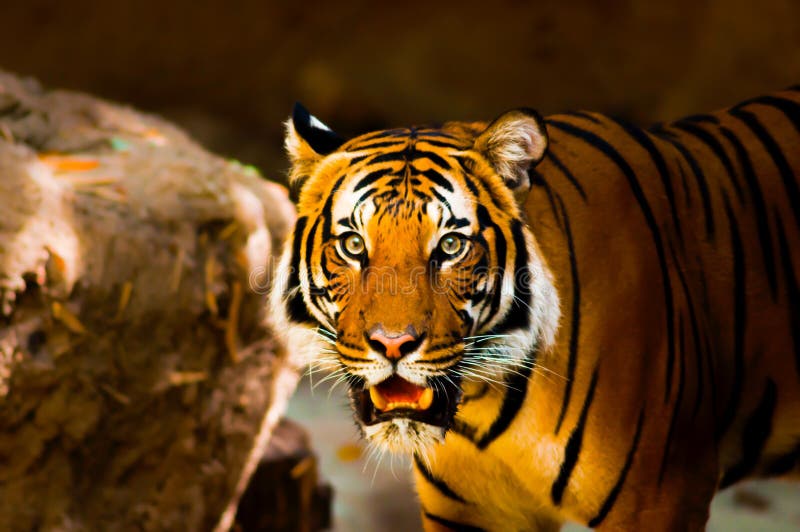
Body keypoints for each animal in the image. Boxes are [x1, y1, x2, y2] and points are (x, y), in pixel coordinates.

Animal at [268, 87, 800, 531]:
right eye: (354, 245)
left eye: (451, 246)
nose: (393, 344)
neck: (485, 406)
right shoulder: (469, 512)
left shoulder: (659, 498)